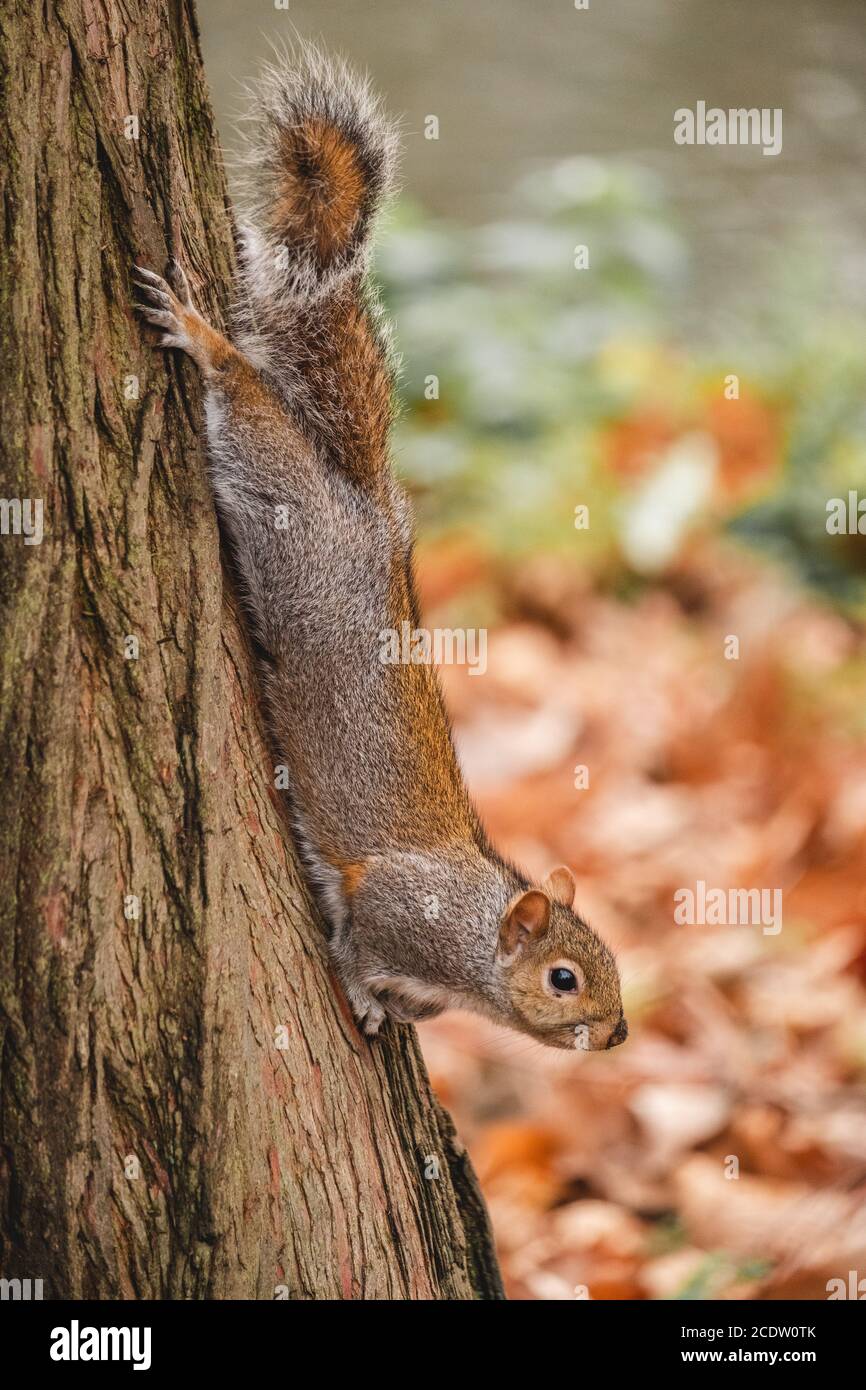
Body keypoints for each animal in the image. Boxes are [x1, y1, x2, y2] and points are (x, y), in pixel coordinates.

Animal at [134, 44, 627, 1052]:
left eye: (608, 961)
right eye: (564, 978)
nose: (621, 1034)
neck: (471, 942)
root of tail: (365, 508)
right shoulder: (392, 907)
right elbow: (359, 940)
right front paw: (365, 997)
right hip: (281, 502)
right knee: (246, 402)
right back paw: (203, 341)